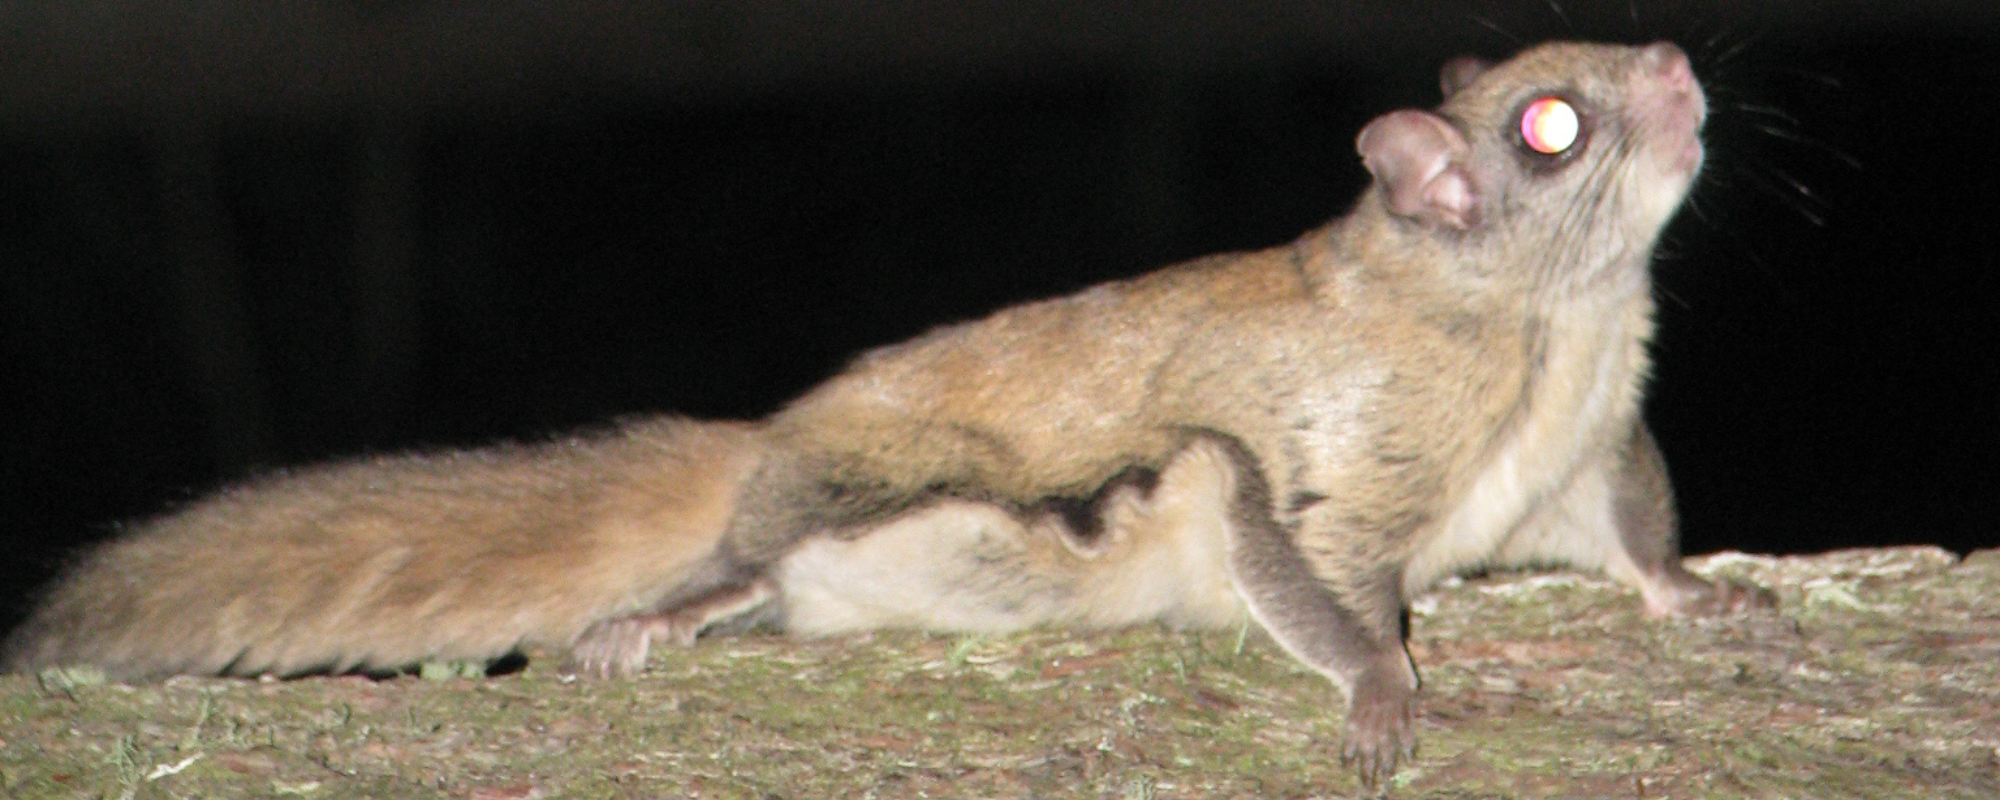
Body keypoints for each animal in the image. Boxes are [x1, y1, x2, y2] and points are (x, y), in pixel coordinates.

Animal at [4, 41, 1772, 788]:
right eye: (1551, 124)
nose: (1685, 64)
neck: (1550, 333)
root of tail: (761, 441)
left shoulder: (1583, 467)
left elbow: (1635, 537)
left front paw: (1696, 598)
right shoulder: (1305, 462)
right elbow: (1315, 579)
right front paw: (1385, 696)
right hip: (863, 503)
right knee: (752, 562)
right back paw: (672, 609)